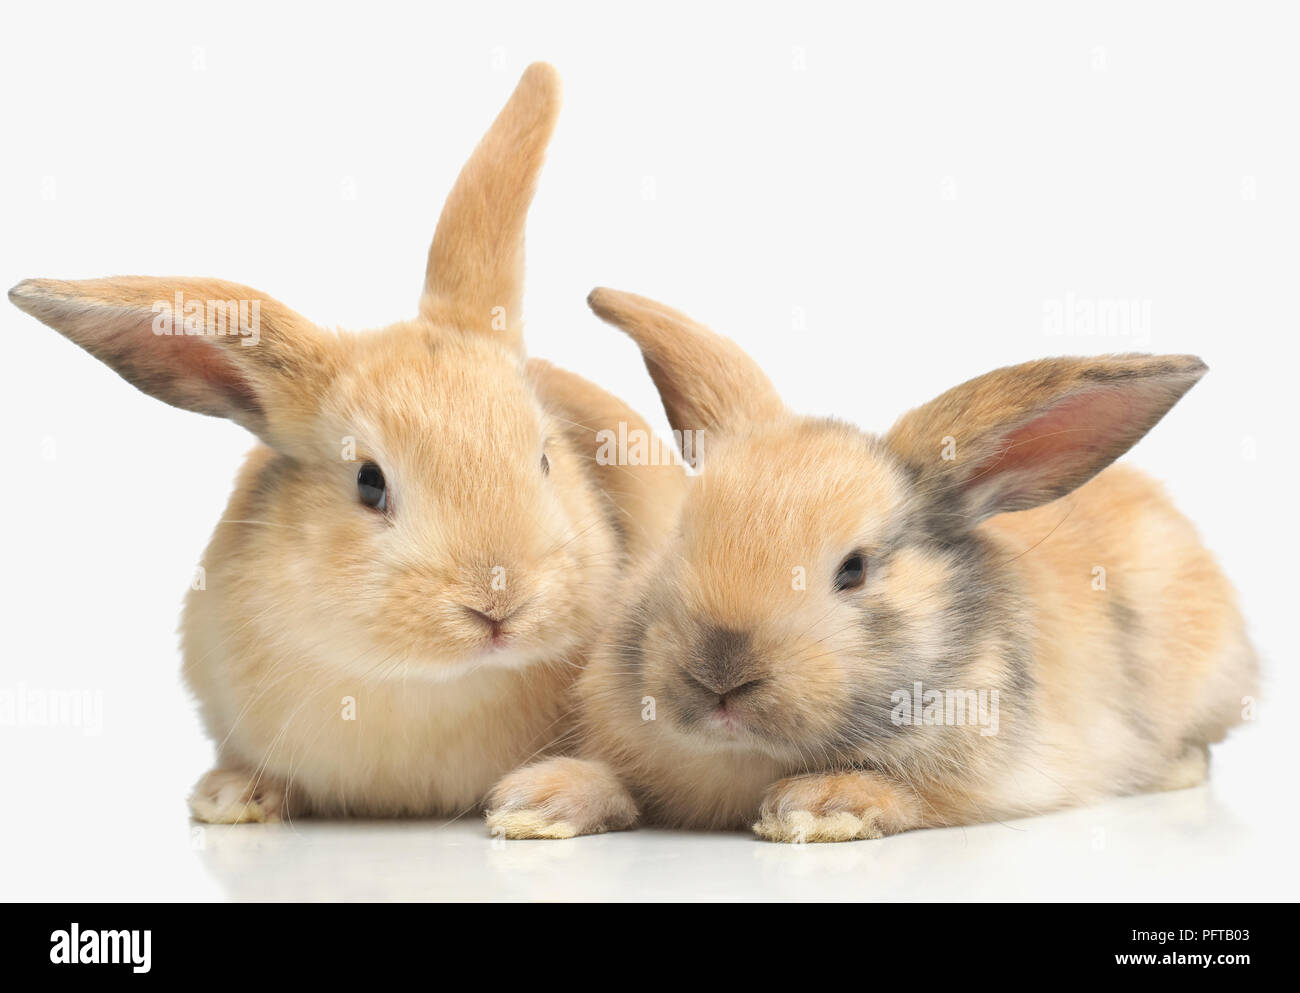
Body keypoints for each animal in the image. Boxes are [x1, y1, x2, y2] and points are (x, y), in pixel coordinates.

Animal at [485, 288, 1258, 842]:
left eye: (853, 570)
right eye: (680, 539)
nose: (719, 676)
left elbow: (914, 795)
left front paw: (819, 805)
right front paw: (533, 802)